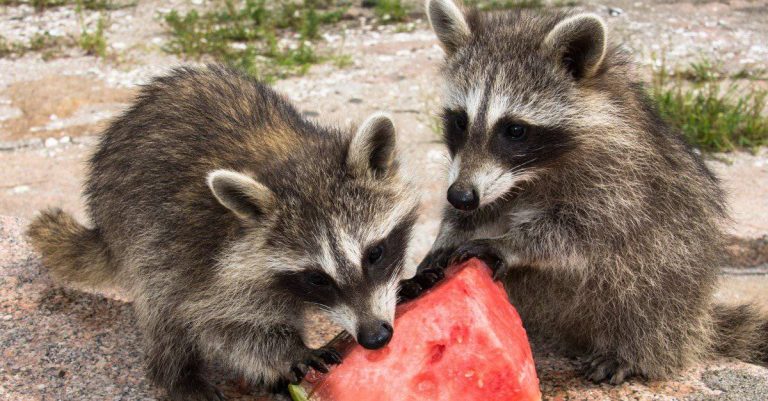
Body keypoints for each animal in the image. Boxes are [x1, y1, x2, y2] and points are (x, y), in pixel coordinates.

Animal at [26, 66, 421, 400]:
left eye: (374, 254)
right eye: (316, 278)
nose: (375, 337)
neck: (295, 160)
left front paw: (409, 281)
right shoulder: (211, 260)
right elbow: (224, 325)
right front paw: (290, 352)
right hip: (134, 229)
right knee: (162, 308)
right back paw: (178, 376)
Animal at [420, 0, 768, 384]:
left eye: (514, 130)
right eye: (460, 121)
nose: (460, 197)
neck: (530, 175)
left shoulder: (621, 180)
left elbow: (582, 232)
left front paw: (510, 243)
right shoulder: (488, 179)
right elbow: (483, 206)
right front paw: (449, 231)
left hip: (678, 274)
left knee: (649, 291)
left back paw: (634, 349)